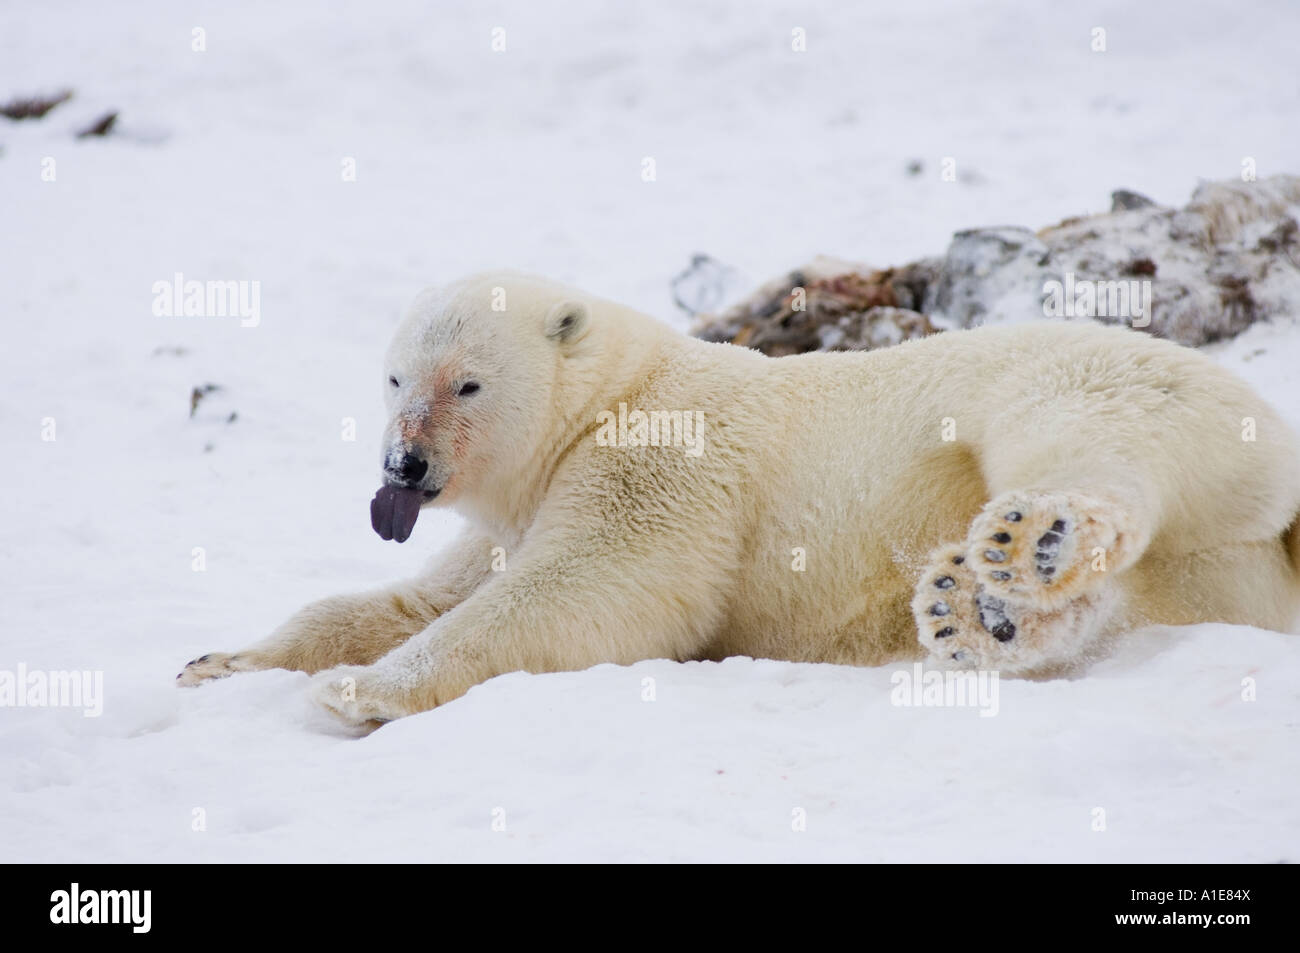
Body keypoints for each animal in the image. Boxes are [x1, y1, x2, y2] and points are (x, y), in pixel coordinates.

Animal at [177, 271, 1300, 728]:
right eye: (394, 375)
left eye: (468, 383)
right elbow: (410, 595)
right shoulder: (511, 513)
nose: (402, 468)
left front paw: (359, 692)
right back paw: (978, 612)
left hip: (1092, 379)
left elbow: (590, 586)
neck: (612, 397)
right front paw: (217, 661)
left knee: (1087, 444)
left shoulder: (659, 466)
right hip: (1214, 570)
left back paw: (1020, 547)